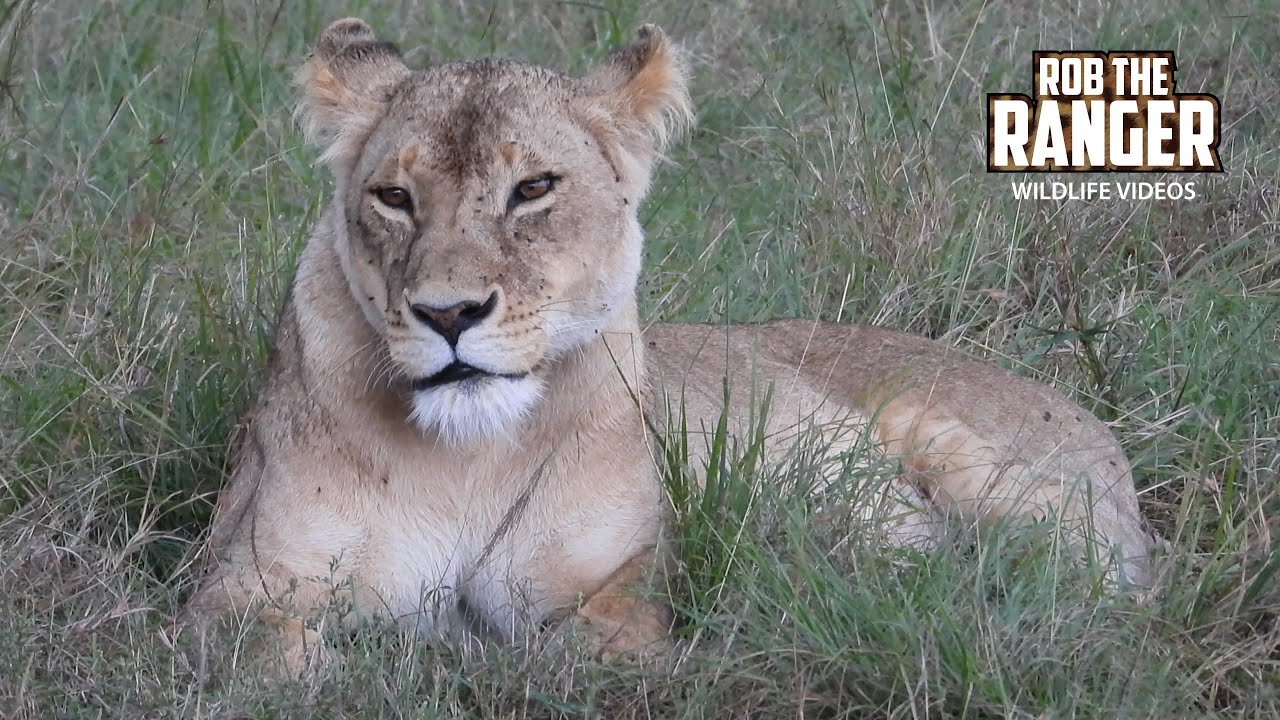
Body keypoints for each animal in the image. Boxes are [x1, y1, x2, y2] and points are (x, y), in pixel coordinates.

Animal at [187, 18, 1157, 671]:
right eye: (393, 197)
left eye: (534, 188)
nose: (450, 314)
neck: (466, 456)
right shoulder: (235, 587)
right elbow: (277, 662)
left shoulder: (628, 577)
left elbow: (587, 650)